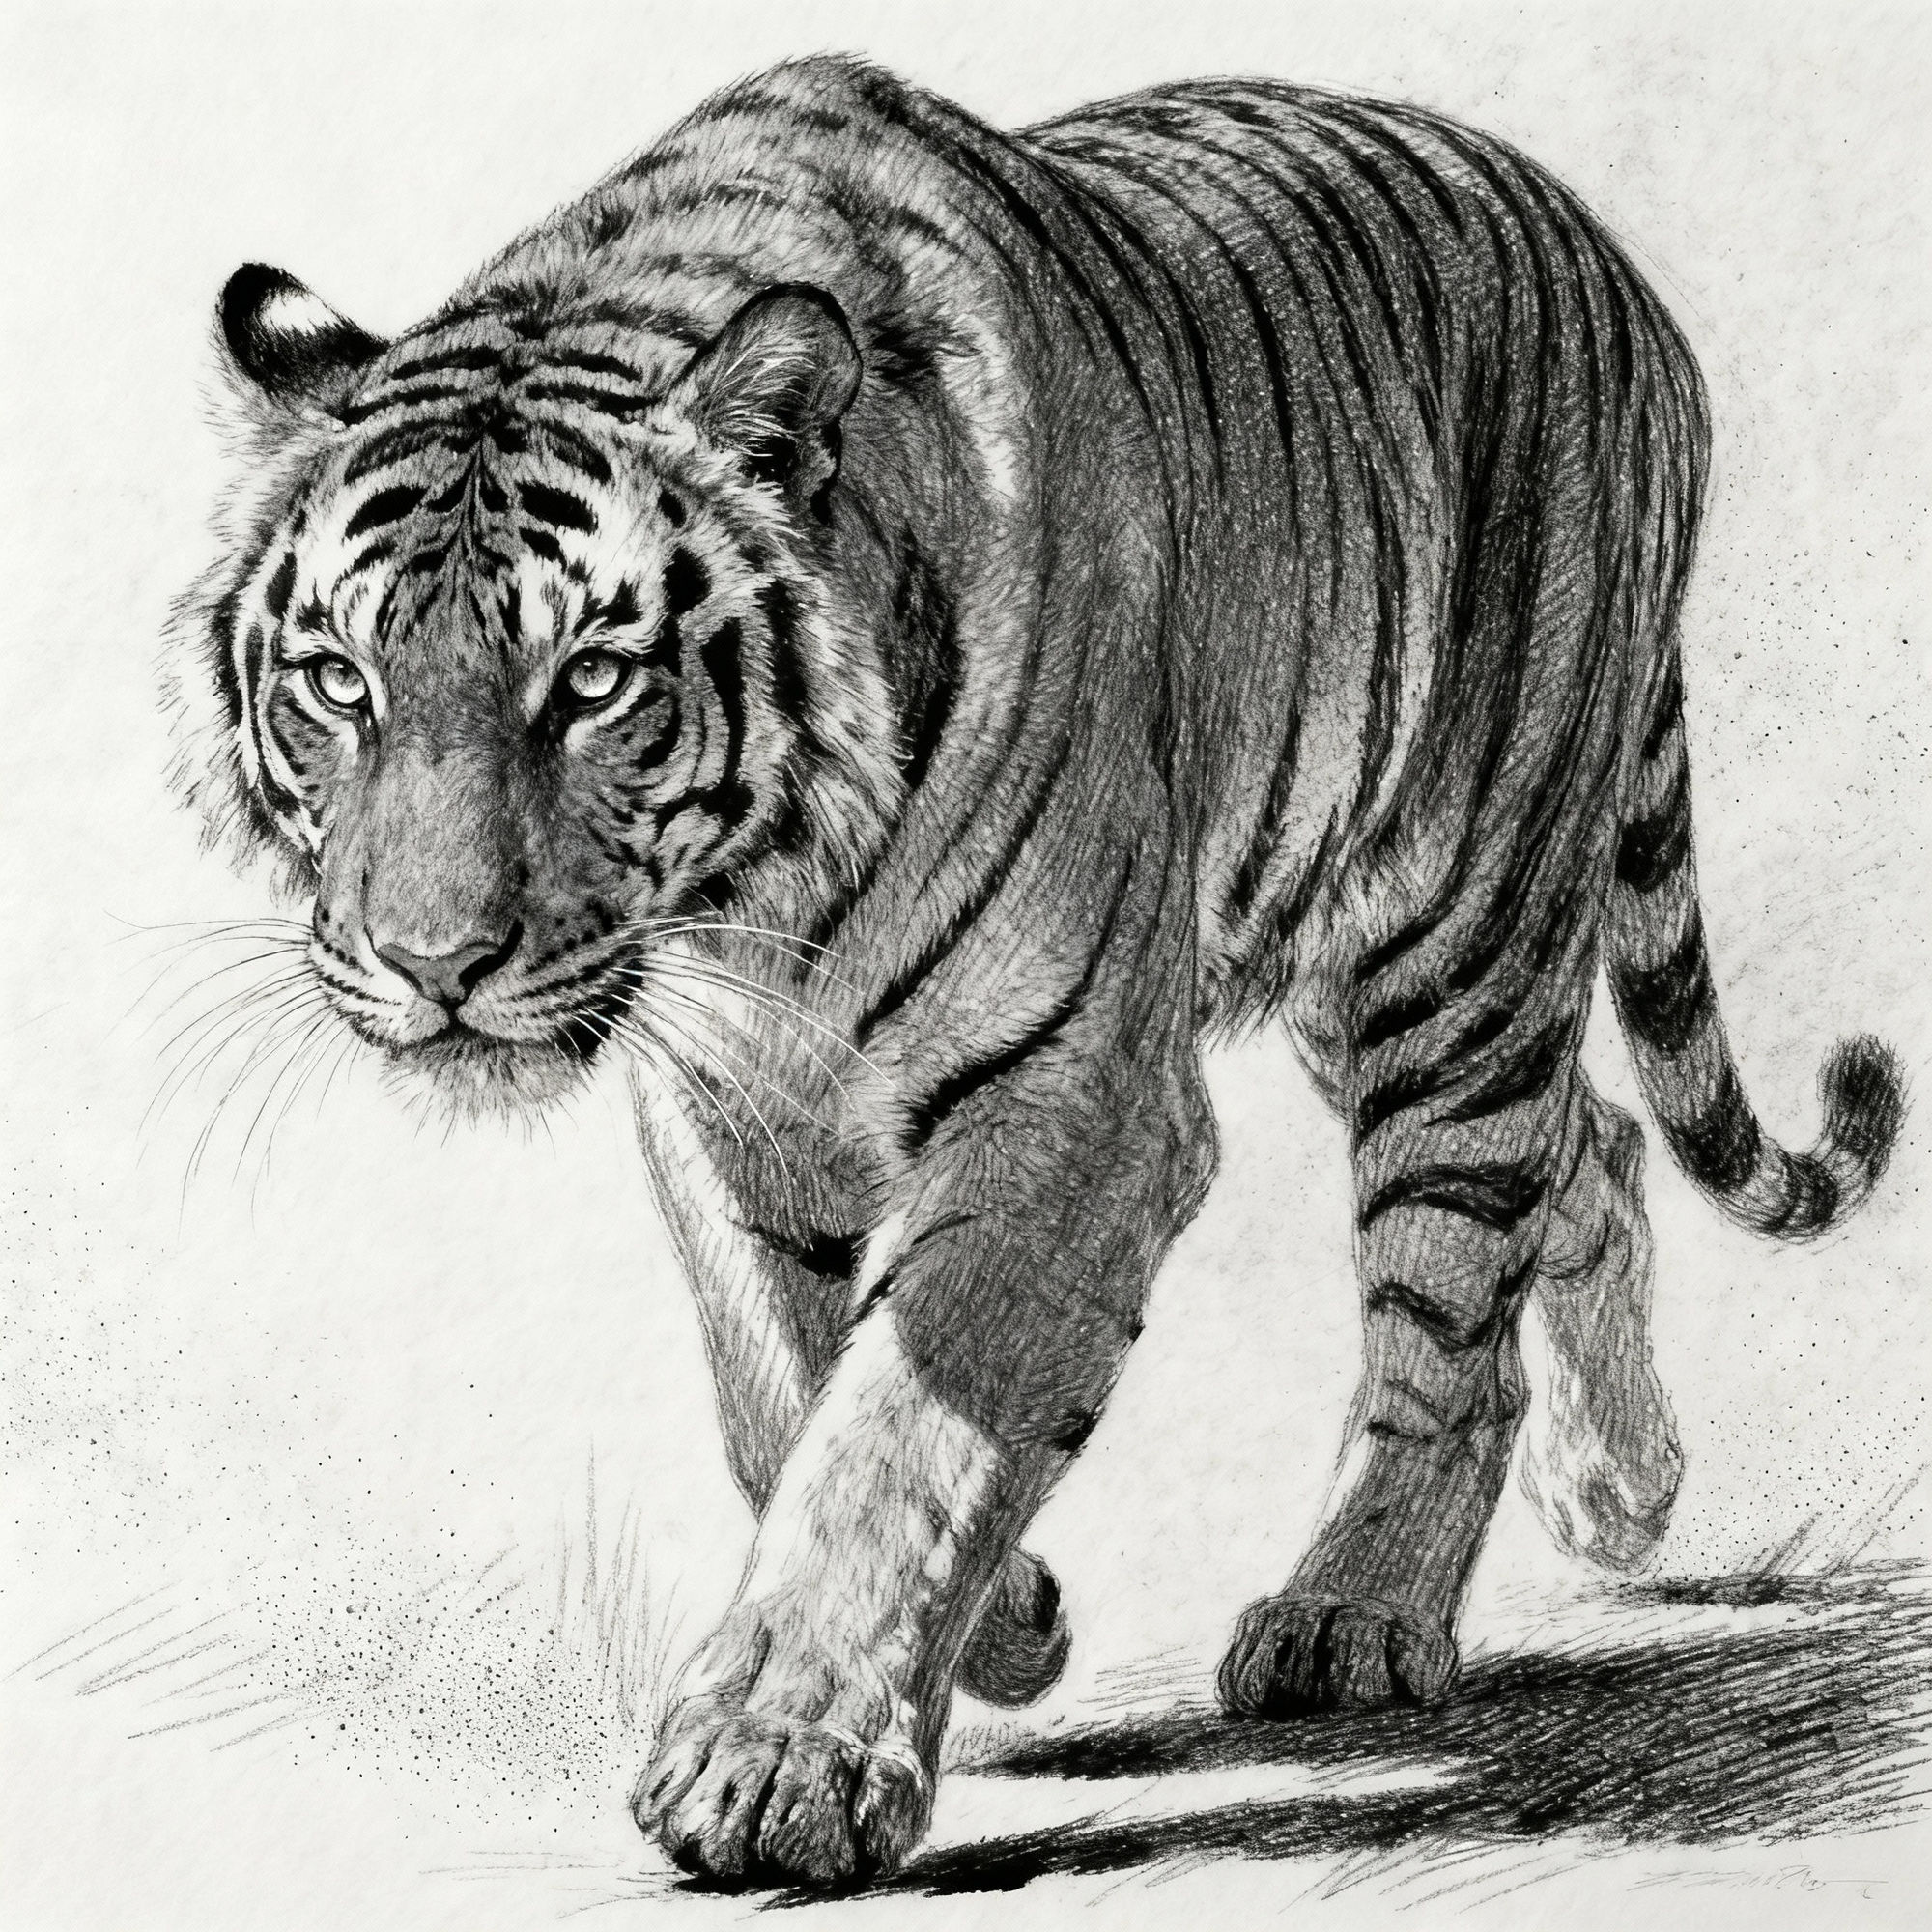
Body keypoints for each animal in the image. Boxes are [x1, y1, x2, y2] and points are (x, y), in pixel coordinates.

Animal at [174, 55, 1904, 1885]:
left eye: (590, 680)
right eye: (339, 680)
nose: (433, 962)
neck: (756, 898)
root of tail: (1607, 261)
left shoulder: (1080, 1099)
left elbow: (912, 1410)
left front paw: (777, 1763)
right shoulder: (727, 1099)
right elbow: (779, 1391)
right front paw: (1007, 1616)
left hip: (1454, 932)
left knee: (1448, 1304)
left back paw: (1356, 1615)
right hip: (1353, 962)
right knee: (1592, 1148)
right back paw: (1621, 1492)